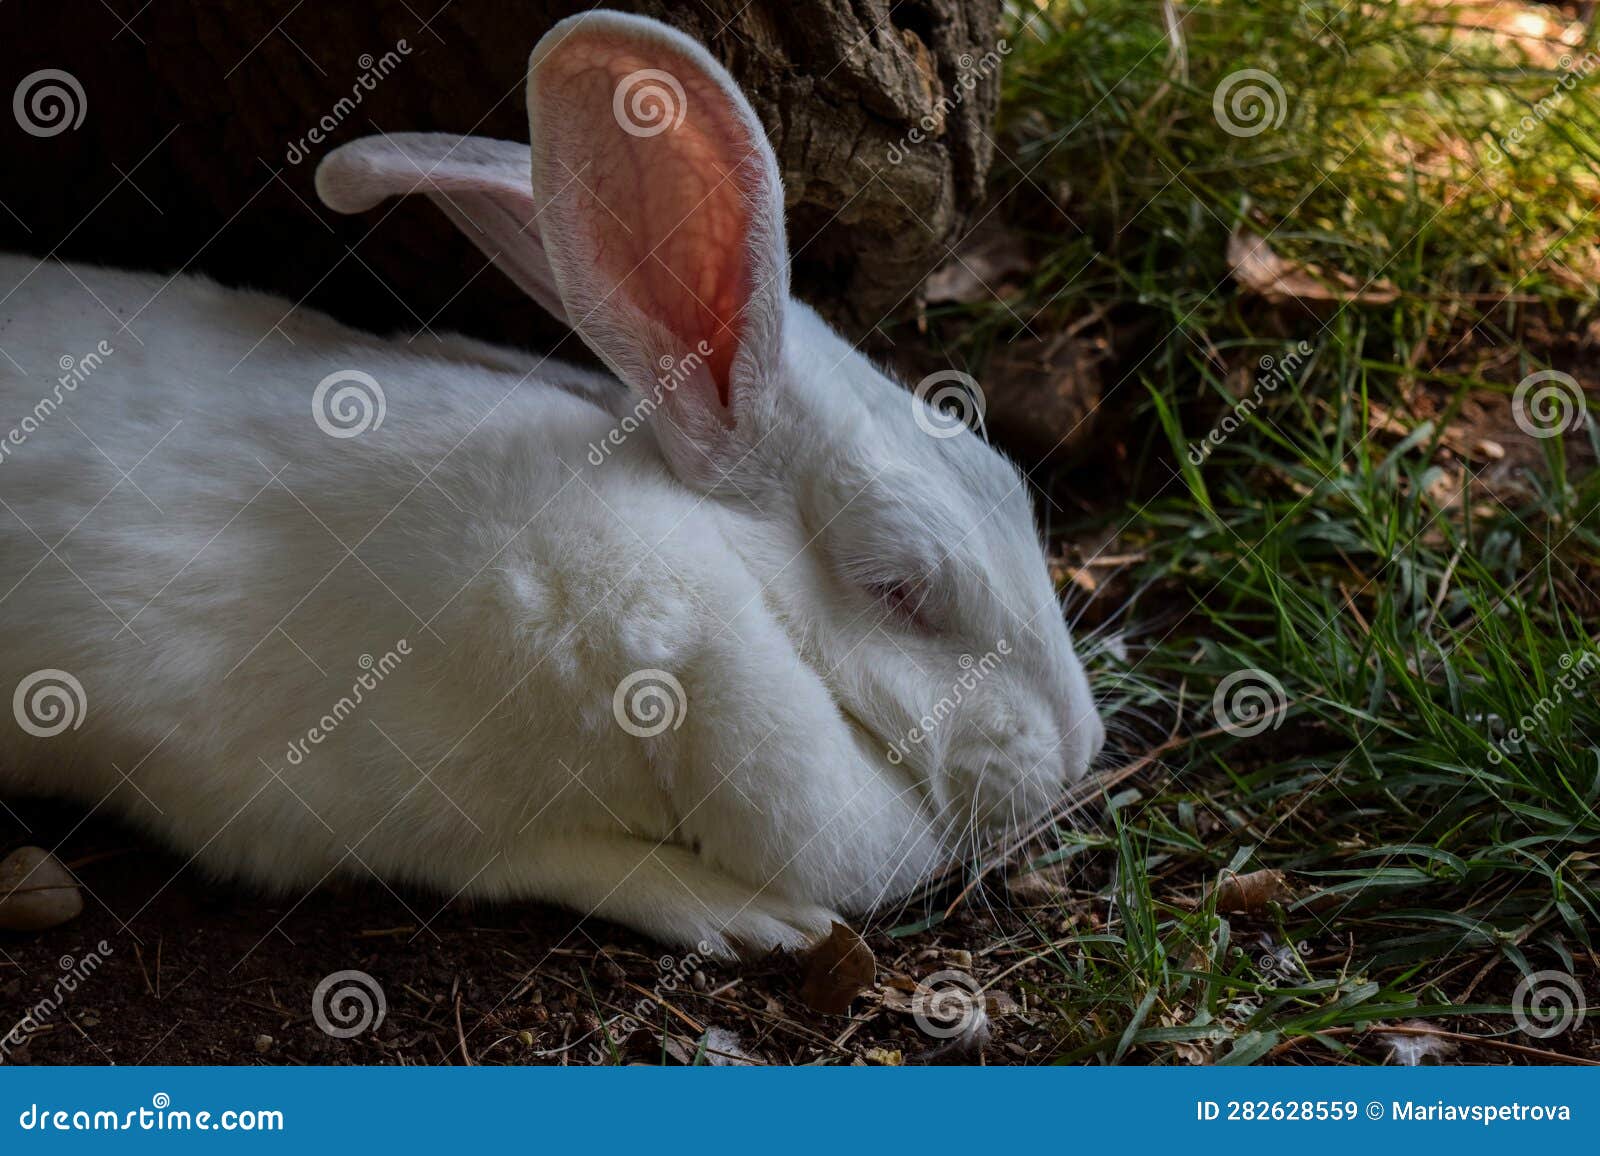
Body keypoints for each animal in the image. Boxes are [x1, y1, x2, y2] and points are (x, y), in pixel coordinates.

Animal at [0, 10, 1103, 958]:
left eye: (1011, 490)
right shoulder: (347, 805)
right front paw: (747, 915)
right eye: (901, 592)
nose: (1078, 754)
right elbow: (536, 862)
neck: (722, 579)